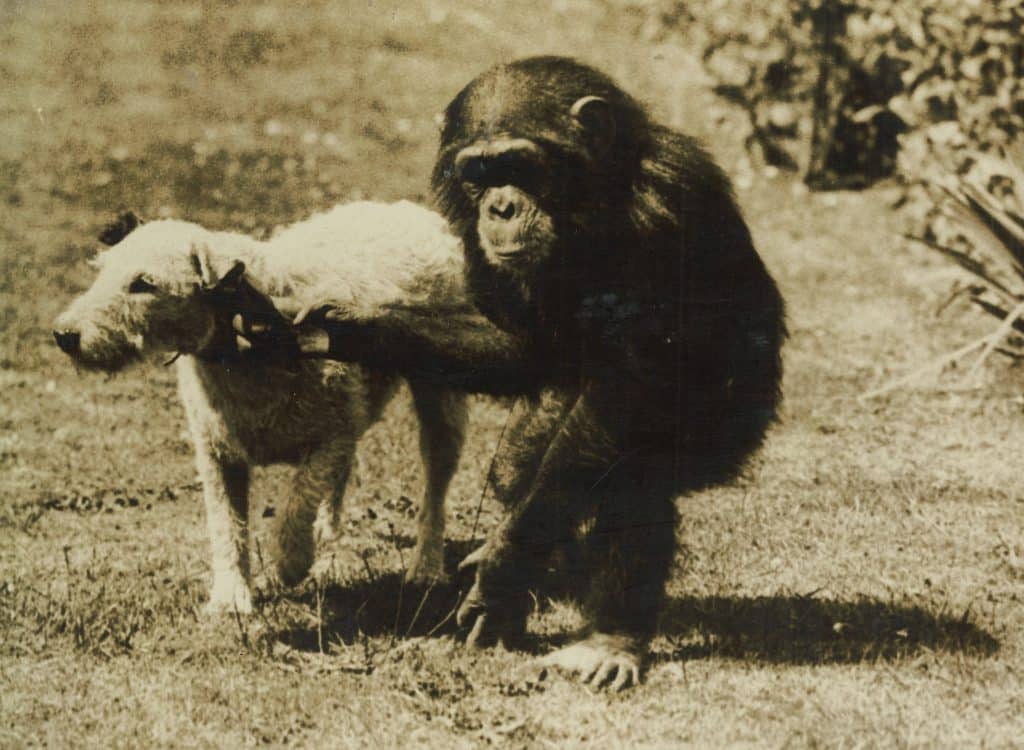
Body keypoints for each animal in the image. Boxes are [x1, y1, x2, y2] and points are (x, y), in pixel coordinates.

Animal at [242, 56, 785, 691]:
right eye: (478, 174)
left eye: (518, 166)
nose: (498, 207)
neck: (595, 199)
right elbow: (520, 348)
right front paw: (343, 325)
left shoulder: (665, 213)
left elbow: (627, 386)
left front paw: (504, 571)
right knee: (522, 463)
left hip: (729, 432)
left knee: (628, 473)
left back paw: (608, 640)